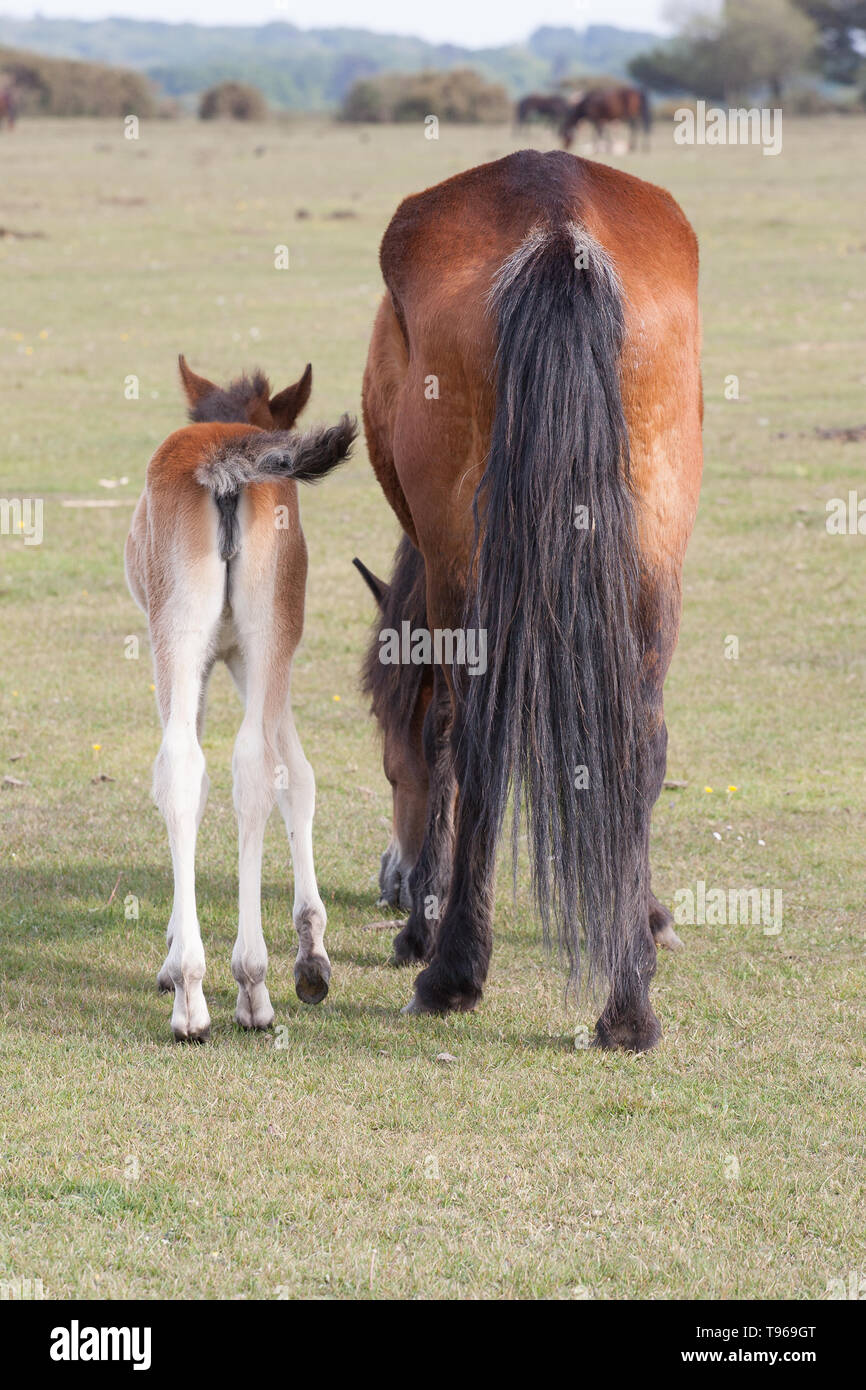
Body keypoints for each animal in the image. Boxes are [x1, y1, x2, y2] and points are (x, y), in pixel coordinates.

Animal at [125, 357, 356, 1040]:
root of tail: (229, 460)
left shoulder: (207, 664)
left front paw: (173, 952)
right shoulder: (255, 660)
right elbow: (295, 776)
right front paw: (312, 958)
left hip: (177, 638)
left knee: (186, 766)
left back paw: (200, 994)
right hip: (268, 632)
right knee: (250, 764)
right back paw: (248, 982)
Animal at [360, 148, 702, 1050]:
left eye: (386, 752)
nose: (393, 879)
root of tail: (556, 225)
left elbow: (444, 739)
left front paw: (423, 928)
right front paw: (649, 917)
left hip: (461, 565)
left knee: (473, 740)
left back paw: (450, 970)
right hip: (653, 559)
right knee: (641, 740)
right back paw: (627, 1001)